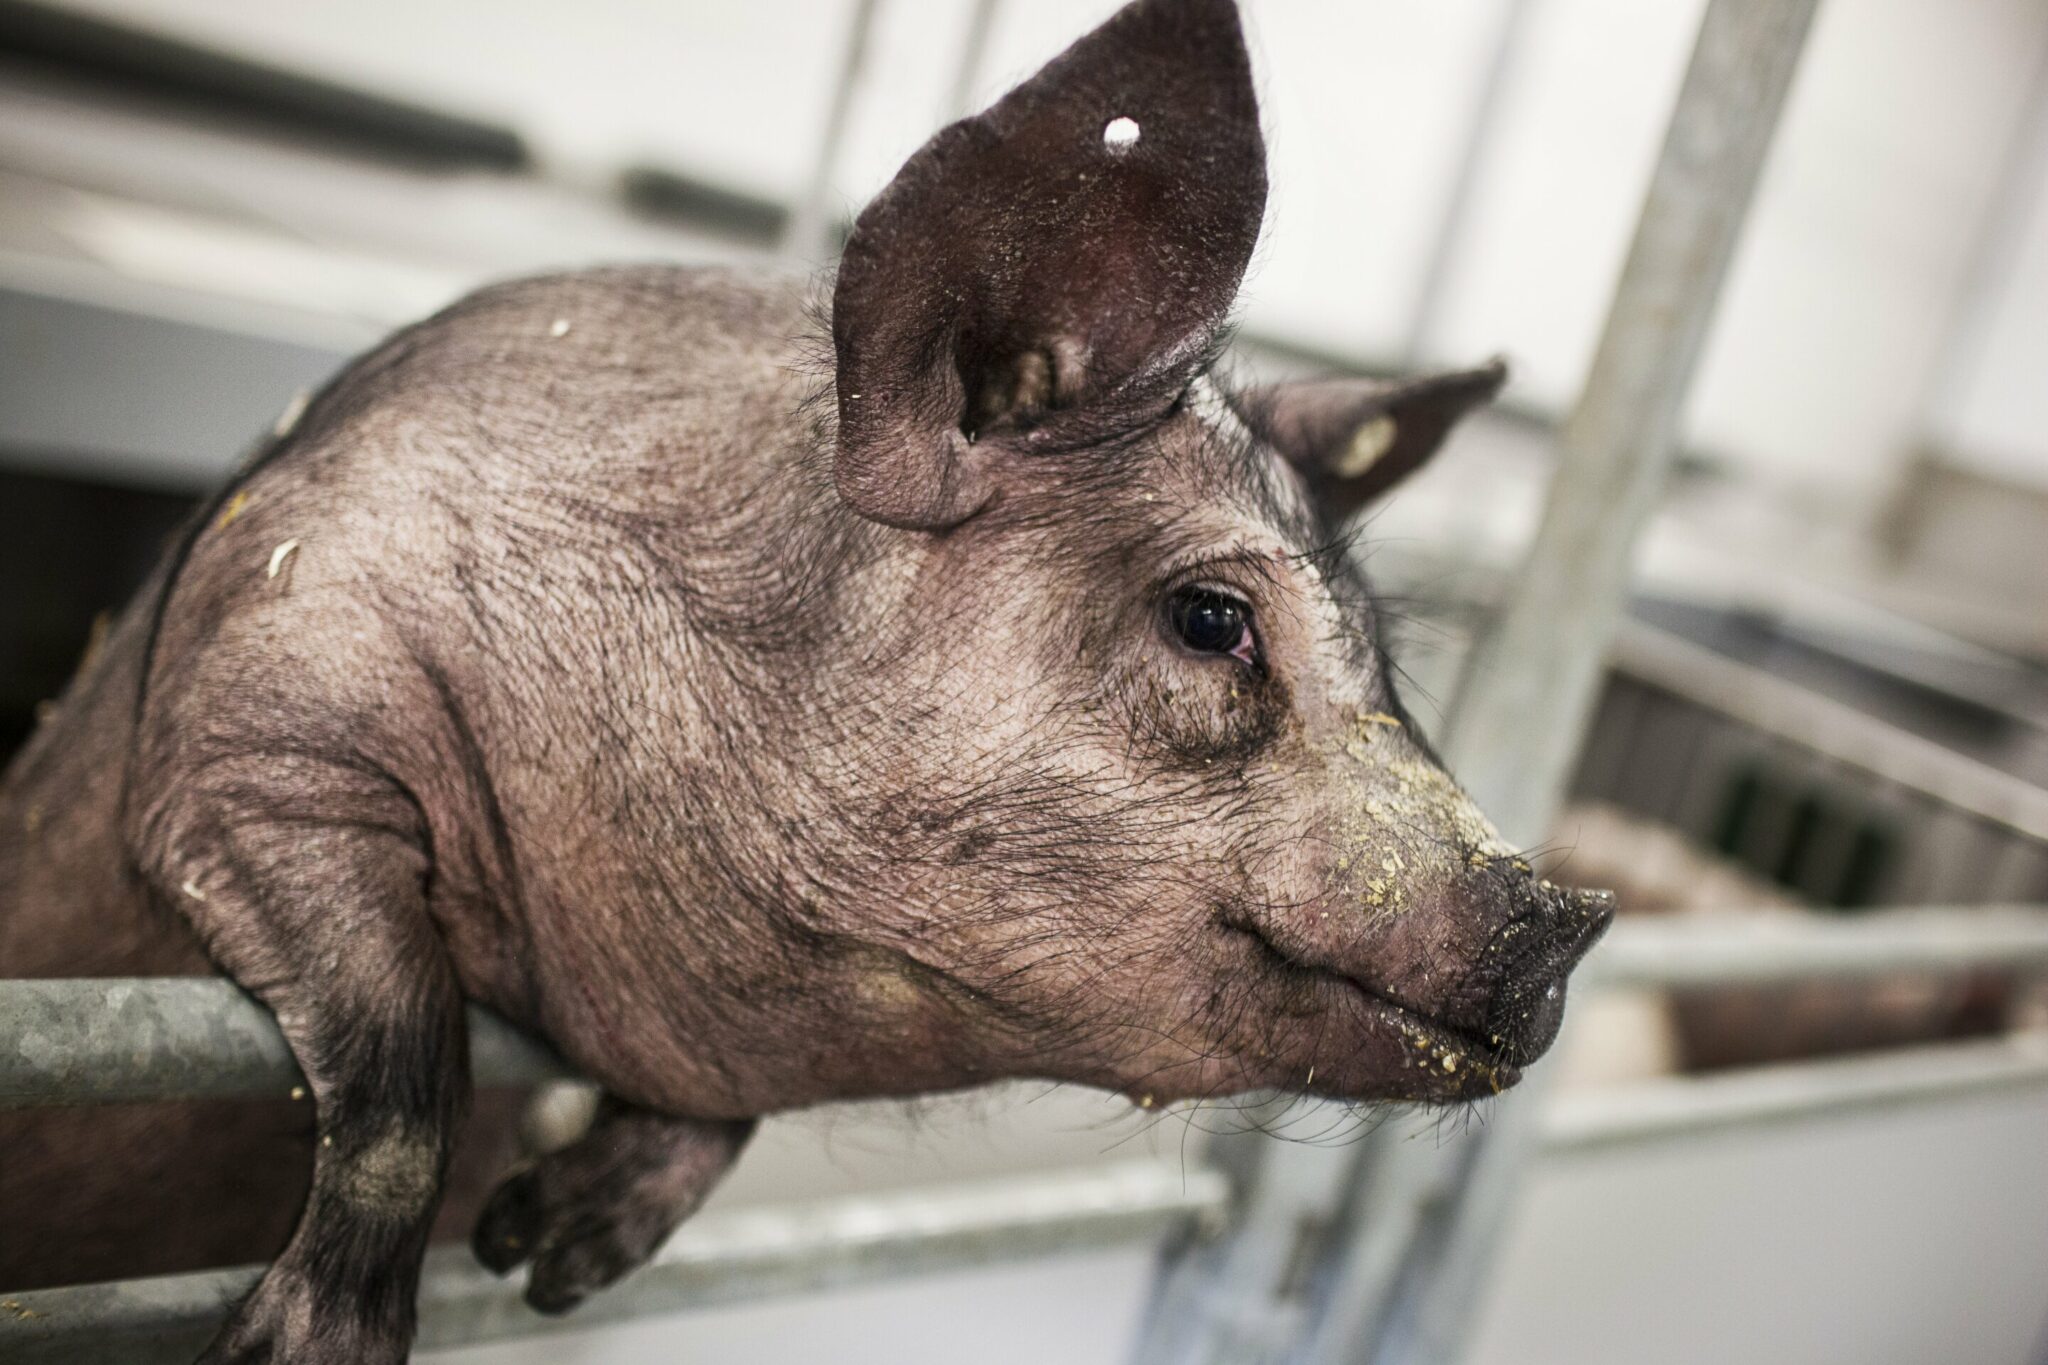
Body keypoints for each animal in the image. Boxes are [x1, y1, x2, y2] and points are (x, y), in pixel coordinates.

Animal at [0, 0, 1612, 1359]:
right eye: (1213, 619)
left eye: (1384, 658)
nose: (1561, 910)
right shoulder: (261, 682)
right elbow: (403, 1039)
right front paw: (306, 1346)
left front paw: (553, 1260)